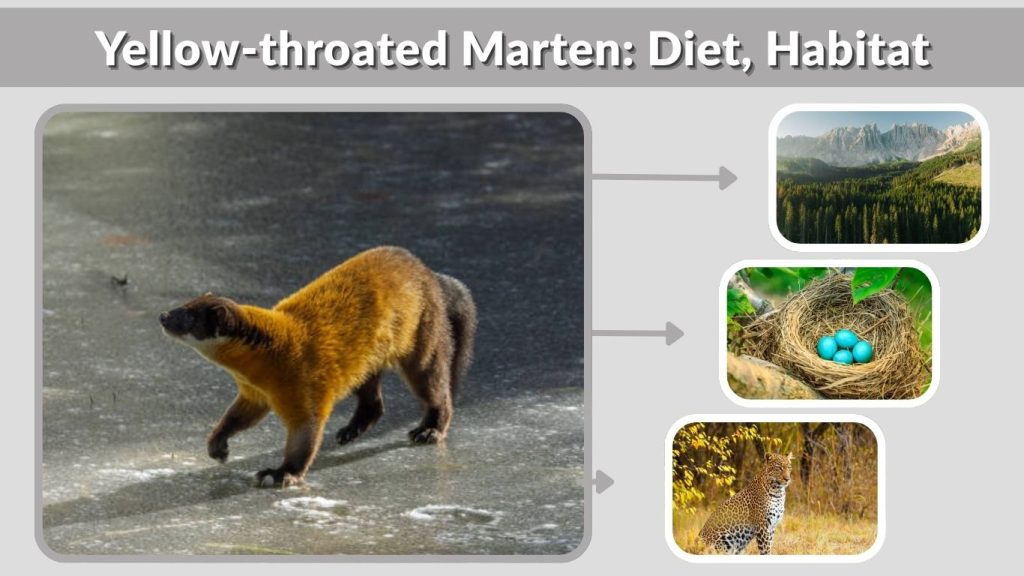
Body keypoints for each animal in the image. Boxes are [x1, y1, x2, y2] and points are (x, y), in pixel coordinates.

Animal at [159, 246, 477, 487]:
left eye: (188, 316)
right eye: (182, 304)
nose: (163, 315)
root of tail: (428, 273)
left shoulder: (306, 387)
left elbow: (305, 437)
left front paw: (280, 474)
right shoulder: (254, 393)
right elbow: (235, 418)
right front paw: (218, 447)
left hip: (423, 339)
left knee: (435, 387)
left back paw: (428, 431)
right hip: (366, 362)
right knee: (373, 402)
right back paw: (349, 431)